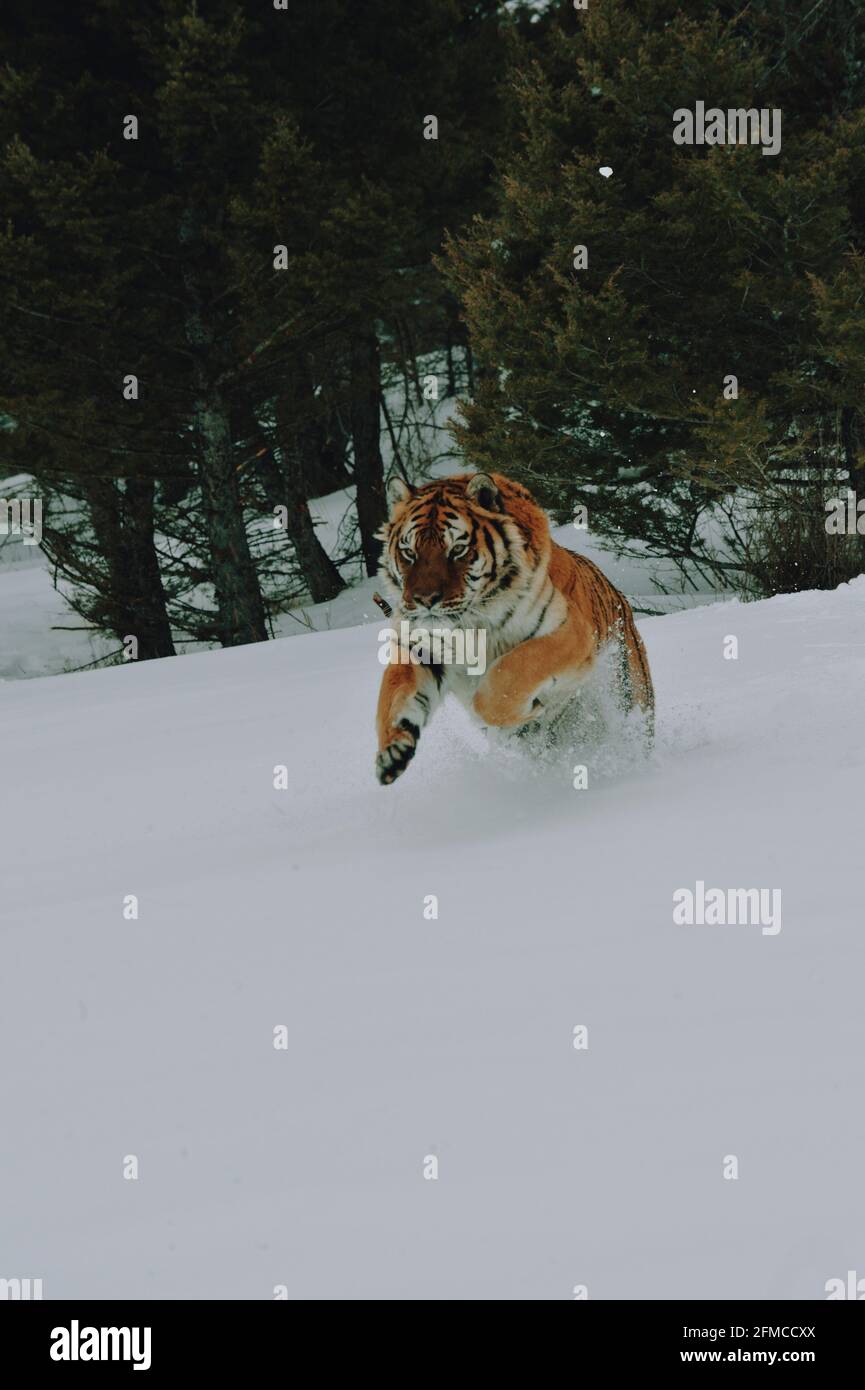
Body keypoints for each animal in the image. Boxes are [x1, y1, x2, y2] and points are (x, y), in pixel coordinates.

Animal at [374, 470, 653, 784]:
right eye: (409, 552)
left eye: (457, 550)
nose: (424, 599)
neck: (471, 623)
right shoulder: (421, 647)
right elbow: (394, 692)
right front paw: (392, 750)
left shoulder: (570, 632)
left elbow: (504, 678)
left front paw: (529, 707)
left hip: (629, 698)